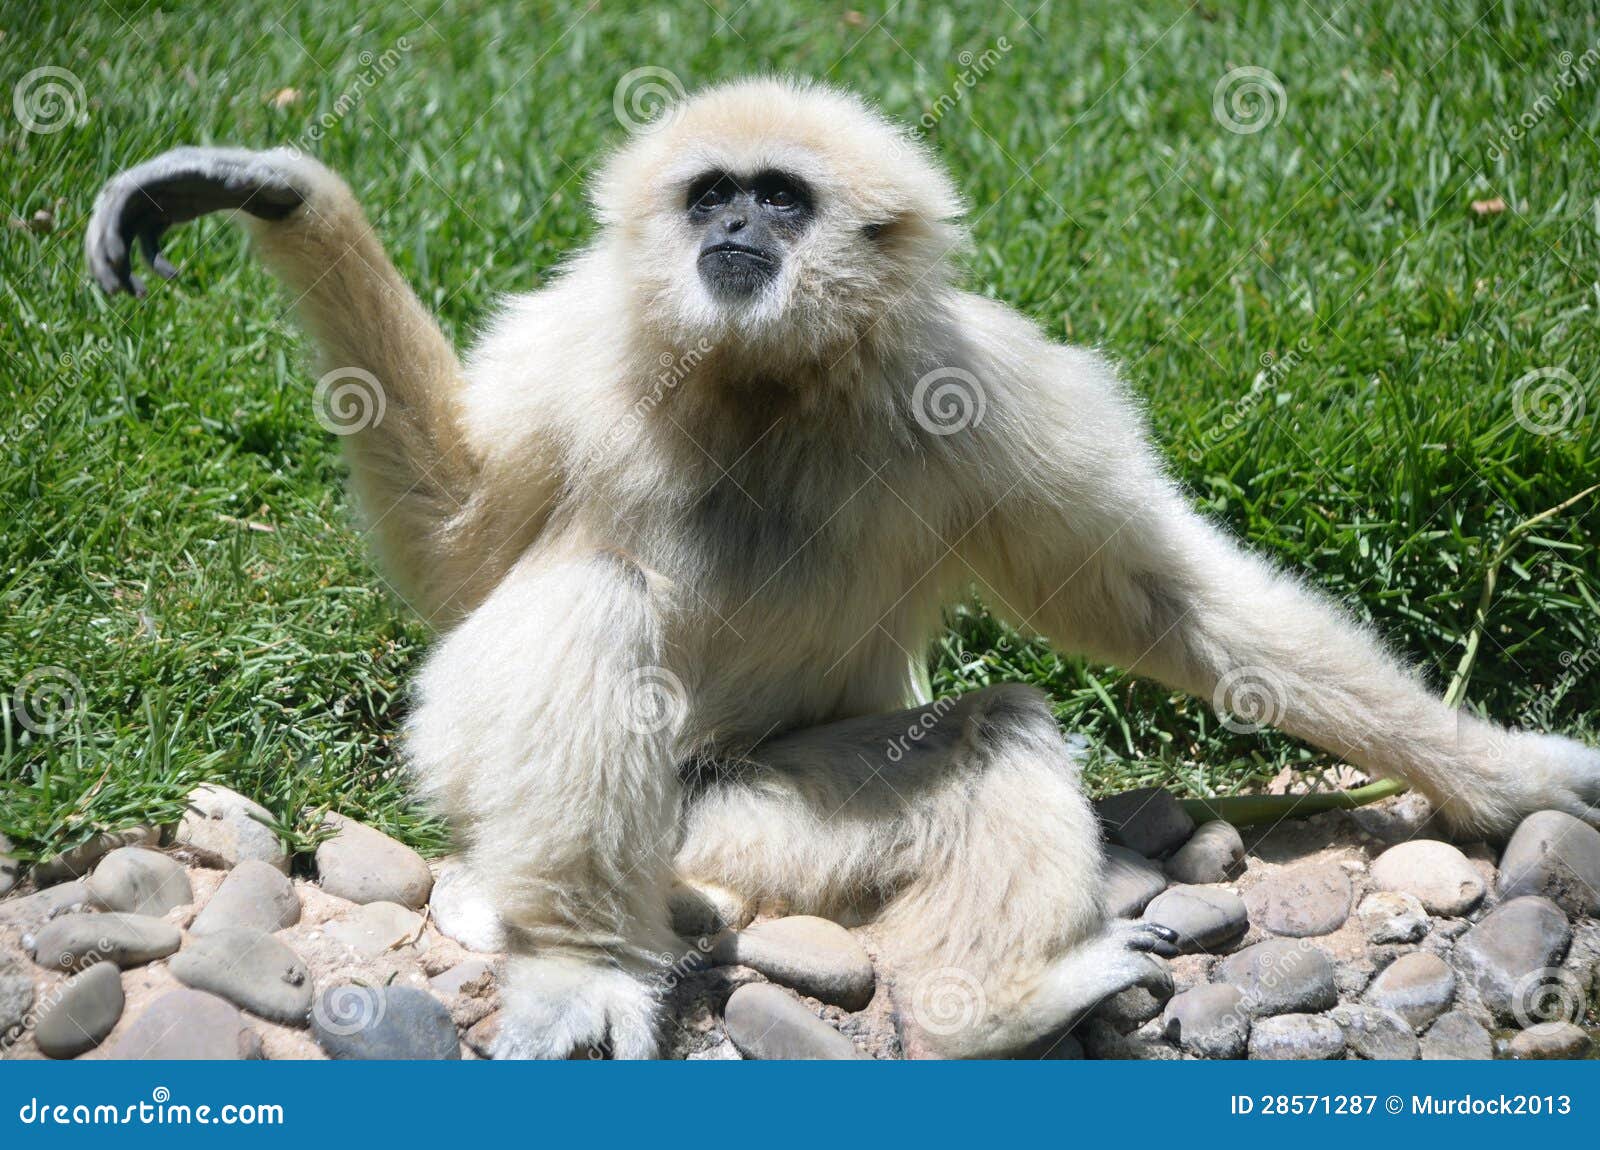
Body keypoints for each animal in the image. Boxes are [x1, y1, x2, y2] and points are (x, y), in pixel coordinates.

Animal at [84, 77, 1600, 1059]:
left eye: (781, 197)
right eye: (713, 194)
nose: (731, 233)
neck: (761, 382)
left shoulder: (978, 379)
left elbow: (1154, 599)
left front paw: (1508, 773)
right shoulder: (579, 338)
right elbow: (460, 546)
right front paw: (282, 195)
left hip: (750, 827)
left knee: (992, 725)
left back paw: (992, 1011)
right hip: (523, 780)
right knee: (584, 604)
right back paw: (582, 964)